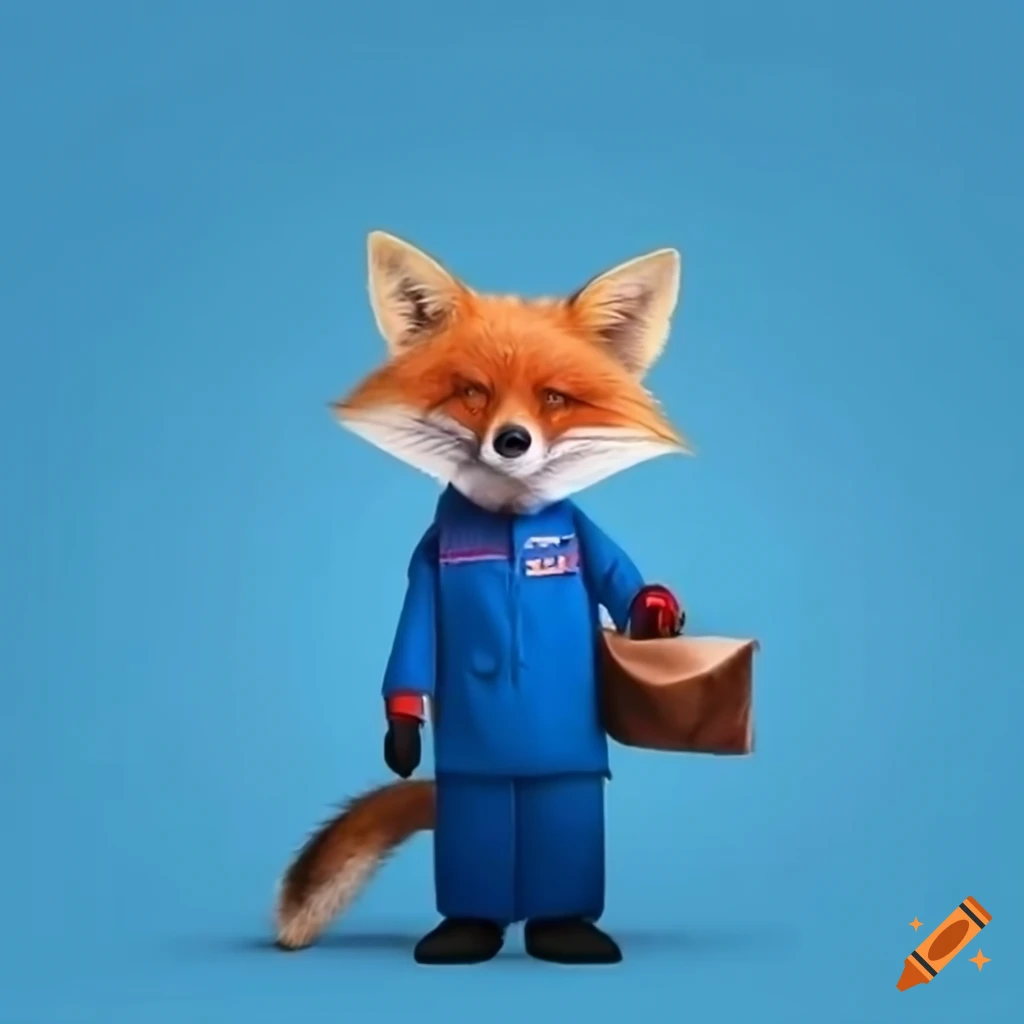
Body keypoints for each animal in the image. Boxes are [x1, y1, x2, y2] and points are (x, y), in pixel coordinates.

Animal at [275, 231, 690, 965]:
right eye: (472, 392)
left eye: (554, 398)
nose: (512, 440)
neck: (509, 518)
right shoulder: (423, 570)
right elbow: (406, 662)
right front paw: (401, 738)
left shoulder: (587, 538)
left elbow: (622, 581)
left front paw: (655, 613)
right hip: (473, 790)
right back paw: (465, 930)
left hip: (565, 789)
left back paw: (564, 929)